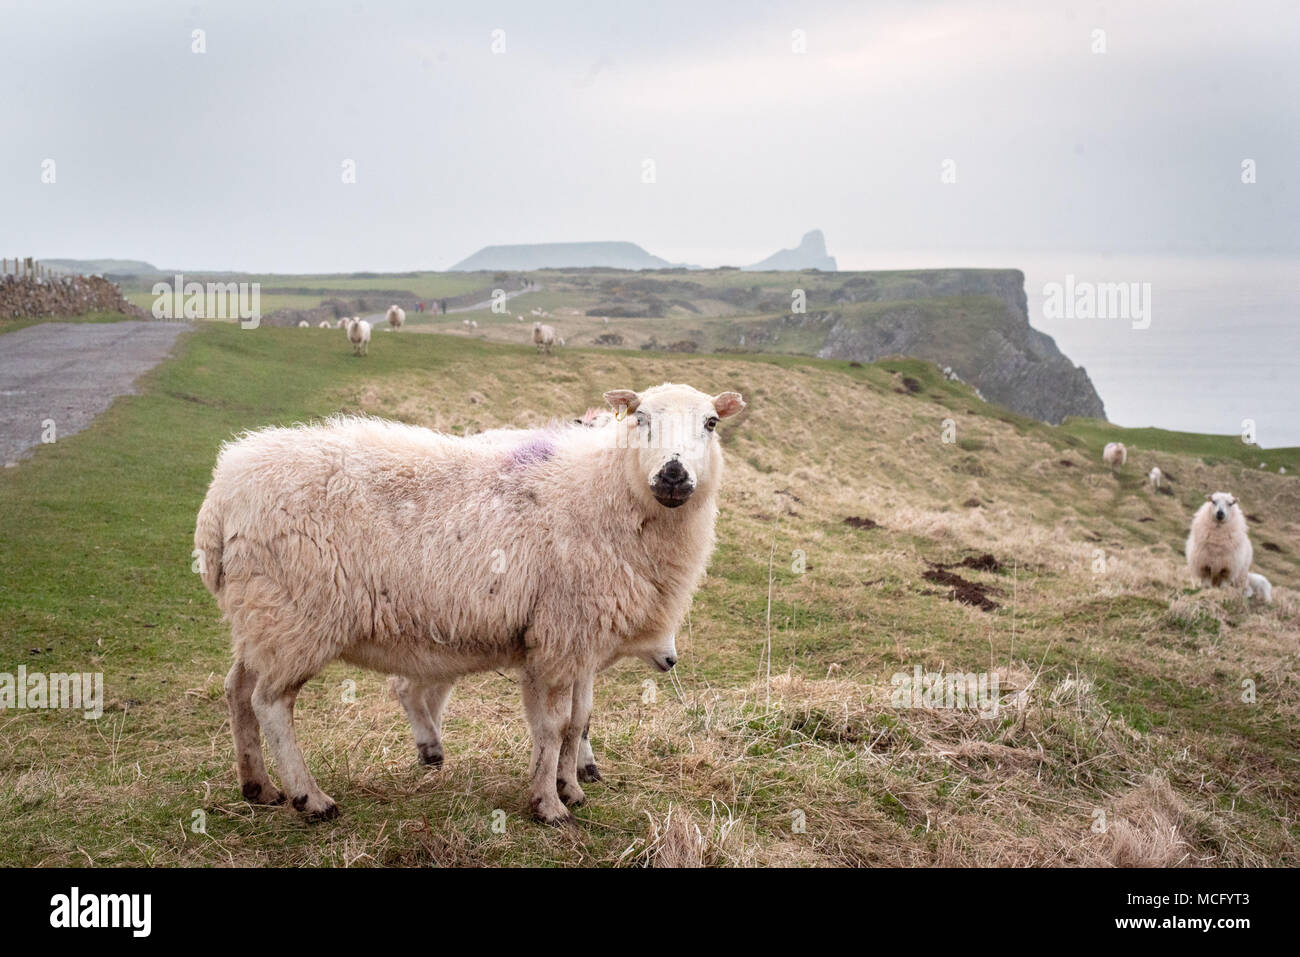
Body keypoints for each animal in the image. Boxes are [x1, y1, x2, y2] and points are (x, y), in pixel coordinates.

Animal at [194, 383, 746, 822]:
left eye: (711, 423)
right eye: (640, 418)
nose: (673, 475)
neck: (607, 488)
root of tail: (221, 496)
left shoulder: (571, 642)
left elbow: (574, 721)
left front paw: (568, 786)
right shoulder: (560, 635)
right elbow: (554, 726)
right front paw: (549, 806)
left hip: (261, 617)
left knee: (237, 691)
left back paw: (258, 786)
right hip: (295, 618)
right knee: (271, 703)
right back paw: (310, 799)